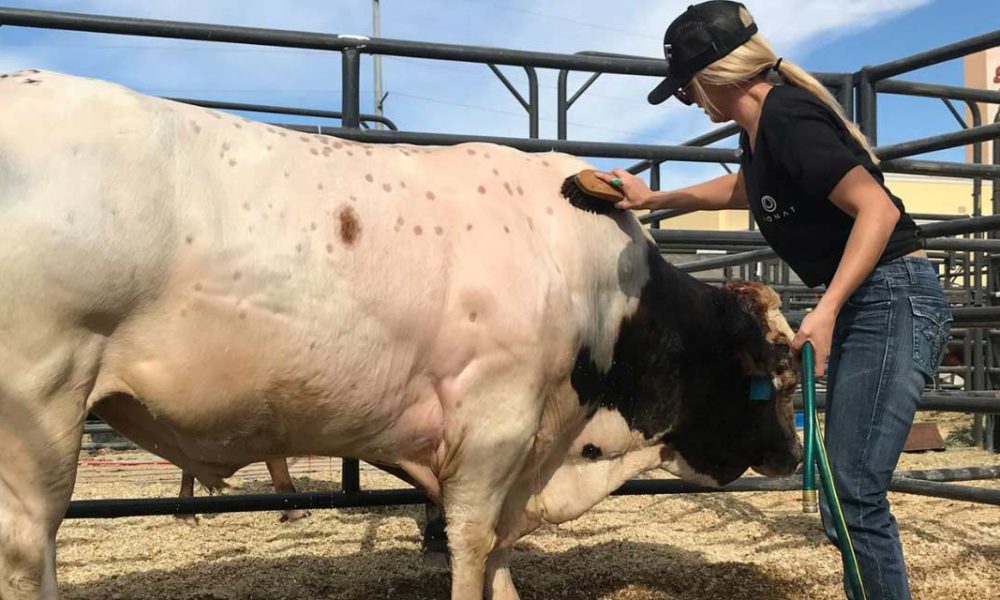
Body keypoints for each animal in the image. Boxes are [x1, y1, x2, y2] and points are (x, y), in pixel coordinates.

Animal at [0, 69, 801, 600]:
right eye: (776, 370)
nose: (793, 456)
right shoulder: (494, 427)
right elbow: (473, 543)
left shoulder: (520, 448)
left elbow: (500, 552)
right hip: (37, 410)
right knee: (25, 548)